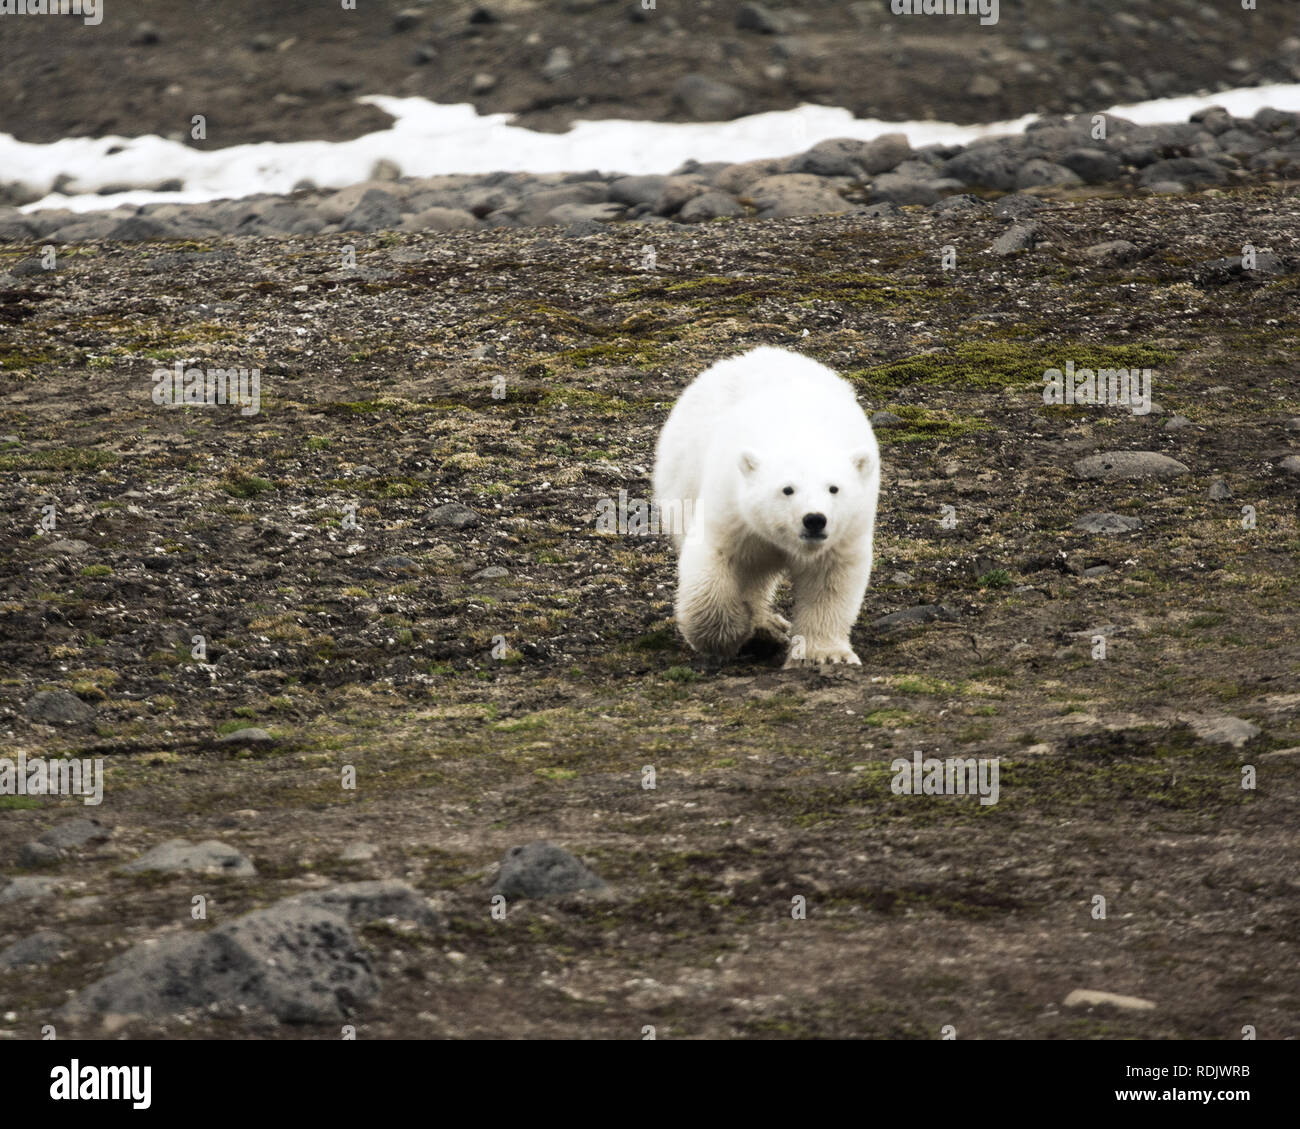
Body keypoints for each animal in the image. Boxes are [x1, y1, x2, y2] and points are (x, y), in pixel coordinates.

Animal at [653, 345, 880, 667]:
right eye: (787, 489)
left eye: (834, 488)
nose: (814, 519)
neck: (801, 433)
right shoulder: (732, 509)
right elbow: (714, 561)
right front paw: (728, 634)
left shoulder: (846, 531)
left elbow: (829, 582)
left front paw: (824, 656)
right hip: (683, 474)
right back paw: (763, 627)